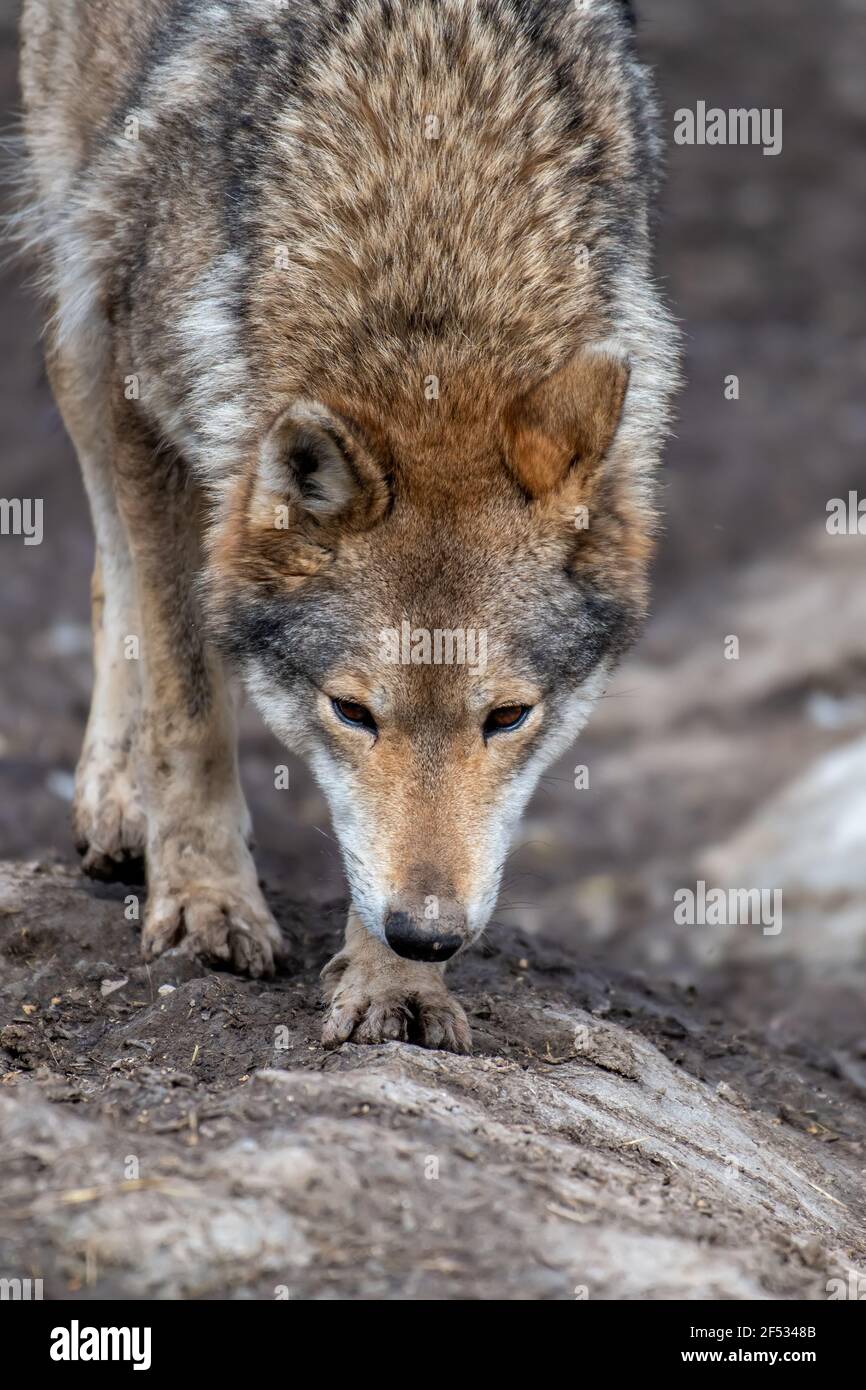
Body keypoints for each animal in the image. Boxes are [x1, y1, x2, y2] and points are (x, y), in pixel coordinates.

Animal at [16, 0, 678, 1052]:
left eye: (507, 718)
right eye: (351, 712)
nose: (427, 935)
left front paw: (395, 984)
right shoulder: (142, 405)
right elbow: (186, 700)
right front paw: (205, 898)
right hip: (82, 291)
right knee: (111, 566)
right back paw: (117, 800)